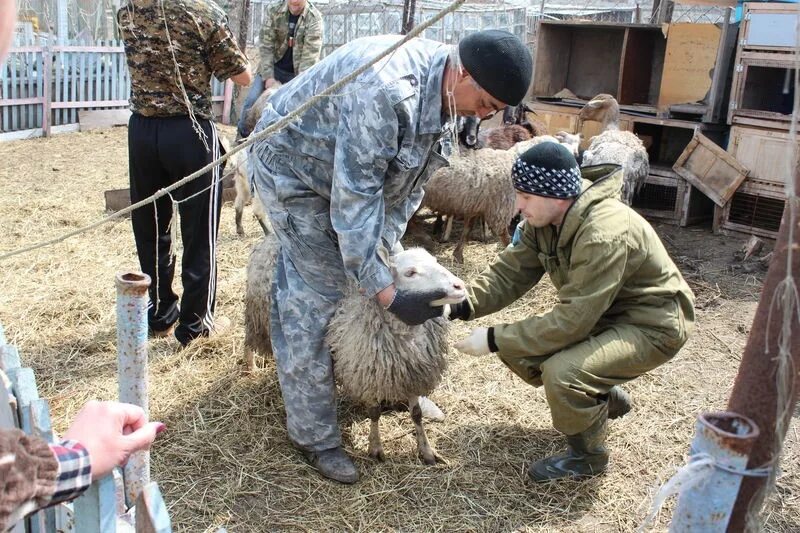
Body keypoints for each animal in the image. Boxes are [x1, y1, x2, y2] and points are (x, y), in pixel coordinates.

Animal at [244, 235, 468, 464]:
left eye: (435, 261)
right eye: (410, 273)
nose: (459, 286)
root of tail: (269, 238)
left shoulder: (413, 375)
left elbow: (416, 414)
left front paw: (426, 450)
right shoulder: (368, 374)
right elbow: (375, 412)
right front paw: (375, 447)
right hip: (257, 315)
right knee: (250, 341)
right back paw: (250, 368)